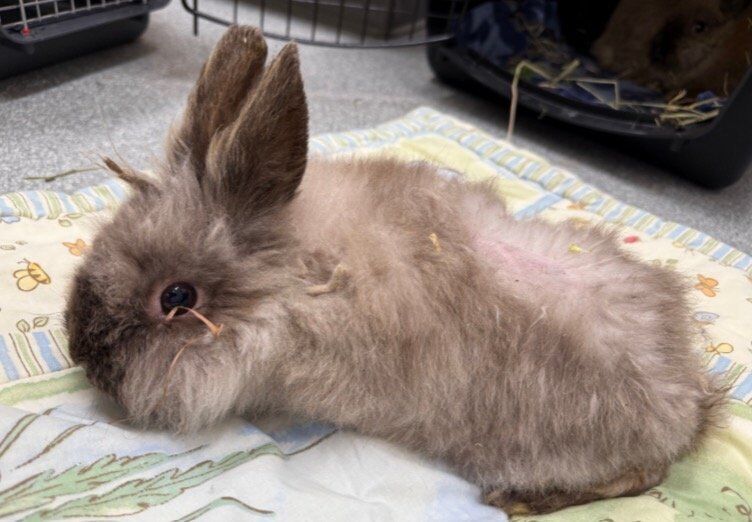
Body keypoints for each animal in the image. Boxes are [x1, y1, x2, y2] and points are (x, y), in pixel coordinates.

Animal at [64, 26, 726, 515]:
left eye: (177, 297)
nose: (84, 356)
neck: (294, 276)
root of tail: (688, 401)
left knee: (640, 476)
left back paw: (518, 500)